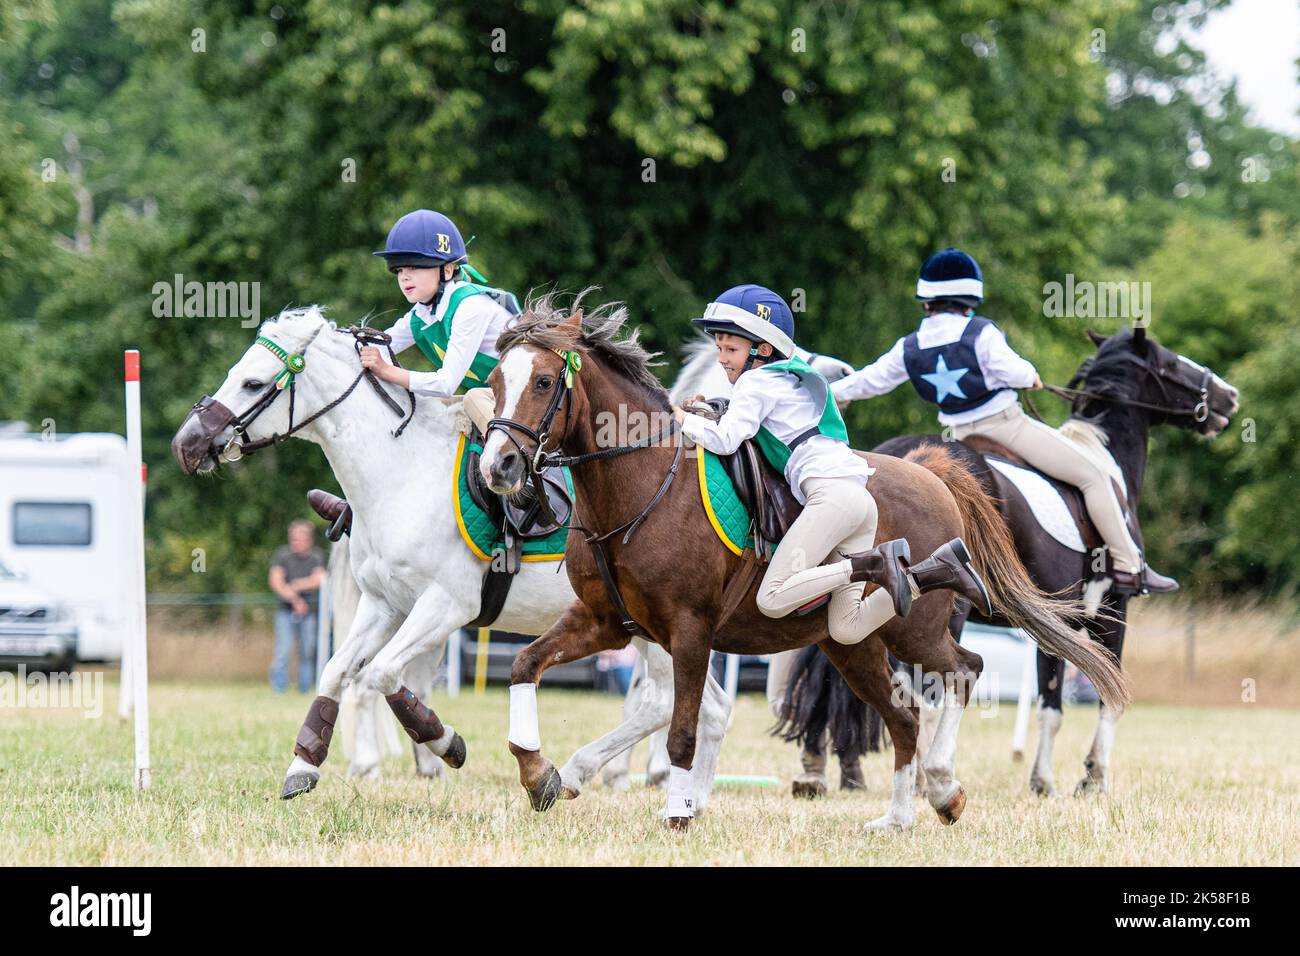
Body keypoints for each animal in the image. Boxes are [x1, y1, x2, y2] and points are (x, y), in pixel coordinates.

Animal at [477, 291, 1129, 830]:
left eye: (543, 382)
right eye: (498, 380)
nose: (498, 468)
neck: (638, 486)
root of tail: (932, 473)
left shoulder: (689, 632)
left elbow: (683, 731)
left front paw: (678, 810)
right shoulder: (606, 622)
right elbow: (525, 666)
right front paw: (541, 774)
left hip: (913, 631)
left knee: (963, 670)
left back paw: (941, 775)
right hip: (850, 641)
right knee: (905, 716)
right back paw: (901, 816)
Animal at [867, 325, 1240, 796]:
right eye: (1171, 362)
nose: (1229, 396)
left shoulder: (1049, 620)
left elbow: (1053, 702)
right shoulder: (1109, 611)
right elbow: (1096, 696)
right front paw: (1087, 777)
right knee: (932, 690)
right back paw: (931, 780)